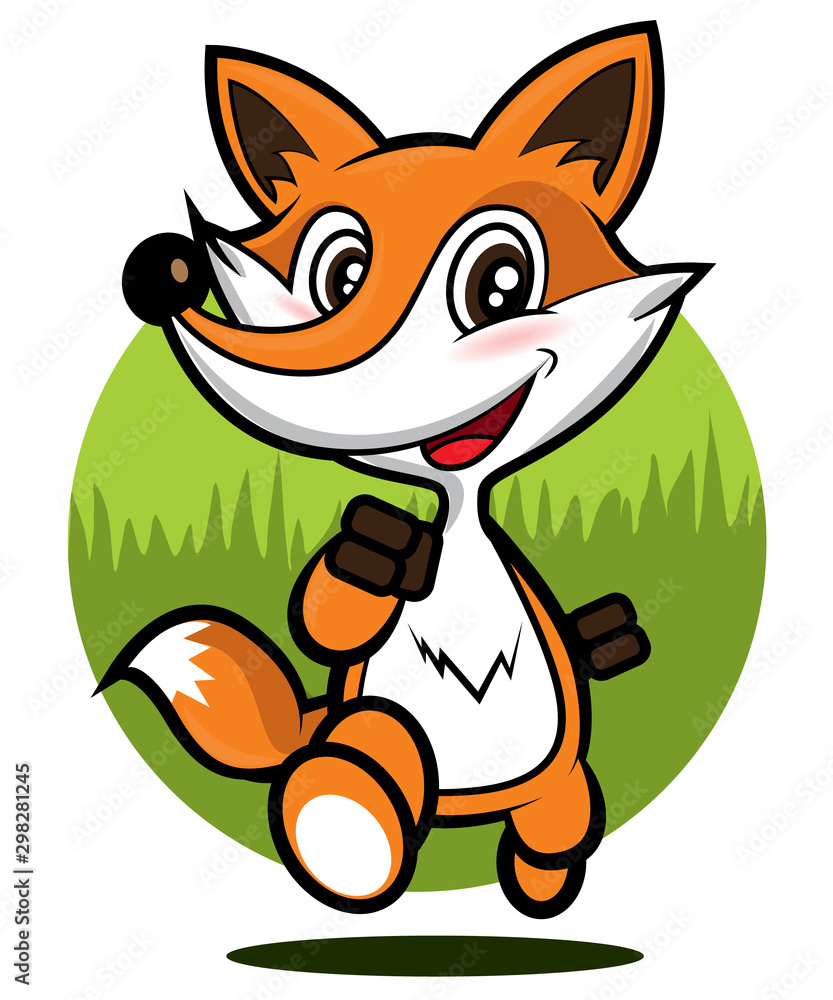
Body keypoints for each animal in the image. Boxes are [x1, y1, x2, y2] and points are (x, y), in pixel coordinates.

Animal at [101, 22, 710, 917]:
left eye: (501, 282)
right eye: (341, 279)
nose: (164, 279)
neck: (456, 511)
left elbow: (578, 644)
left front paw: (610, 636)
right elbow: (326, 617)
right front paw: (379, 553)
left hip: (551, 775)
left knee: (559, 813)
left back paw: (537, 870)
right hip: (371, 718)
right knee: (375, 744)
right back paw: (345, 814)